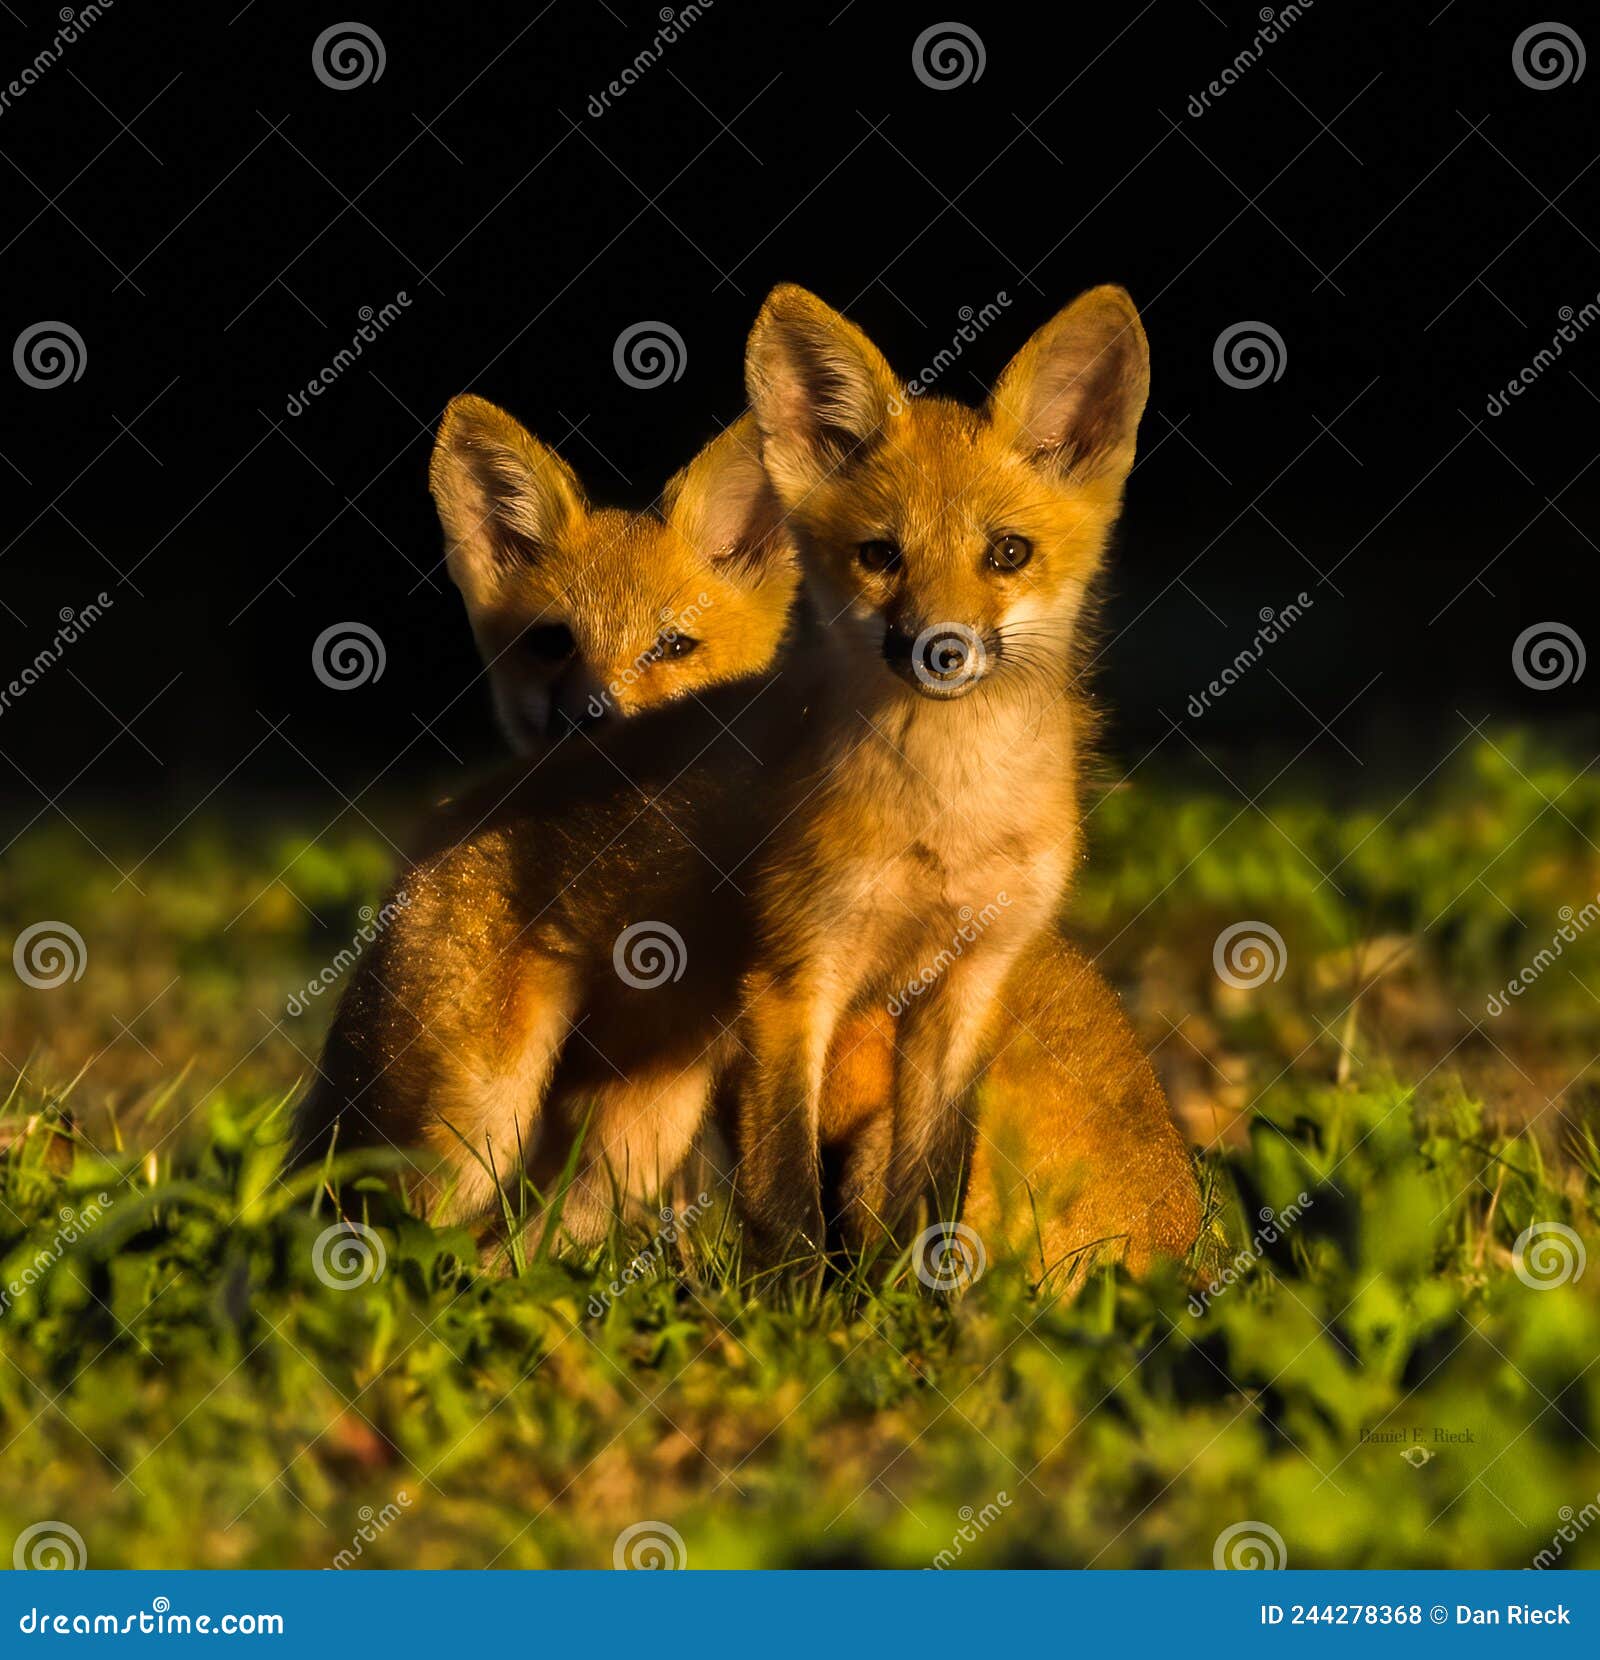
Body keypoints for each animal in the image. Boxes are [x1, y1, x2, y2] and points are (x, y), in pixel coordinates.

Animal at [731, 281, 1158, 1263]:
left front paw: (902, 1302)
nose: (942, 647)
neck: (948, 826)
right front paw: (801, 1304)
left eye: (1007, 553)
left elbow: (926, 1198)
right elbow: (786, 1199)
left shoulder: (971, 985)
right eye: (880, 556)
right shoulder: (792, 972)